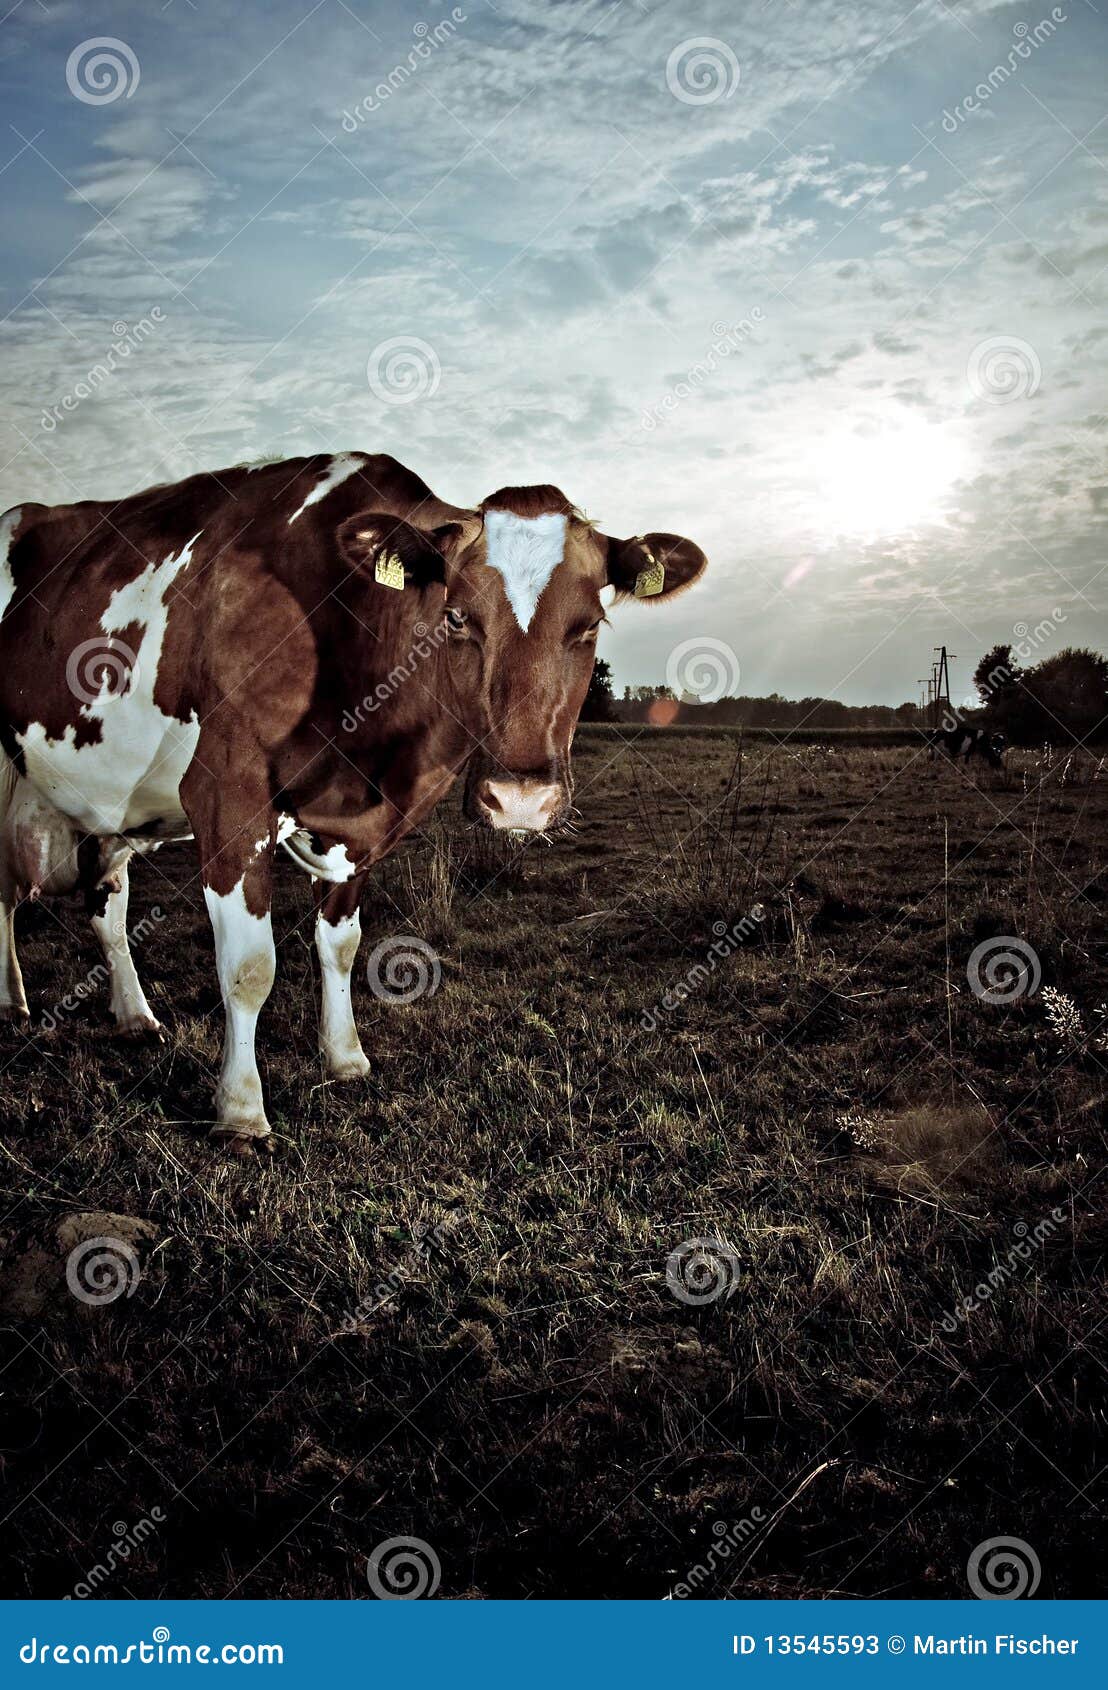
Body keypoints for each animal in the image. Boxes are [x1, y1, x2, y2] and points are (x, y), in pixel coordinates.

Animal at [0, 454, 706, 1147]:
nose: (521, 798)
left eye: (590, 625)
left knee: (106, 905)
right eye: (456, 617)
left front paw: (344, 1058)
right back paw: (13, 1002)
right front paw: (241, 1110)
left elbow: (341, 945)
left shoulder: (360, 831)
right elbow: (249, 968)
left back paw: (133, 1015)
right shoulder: (227, 797)